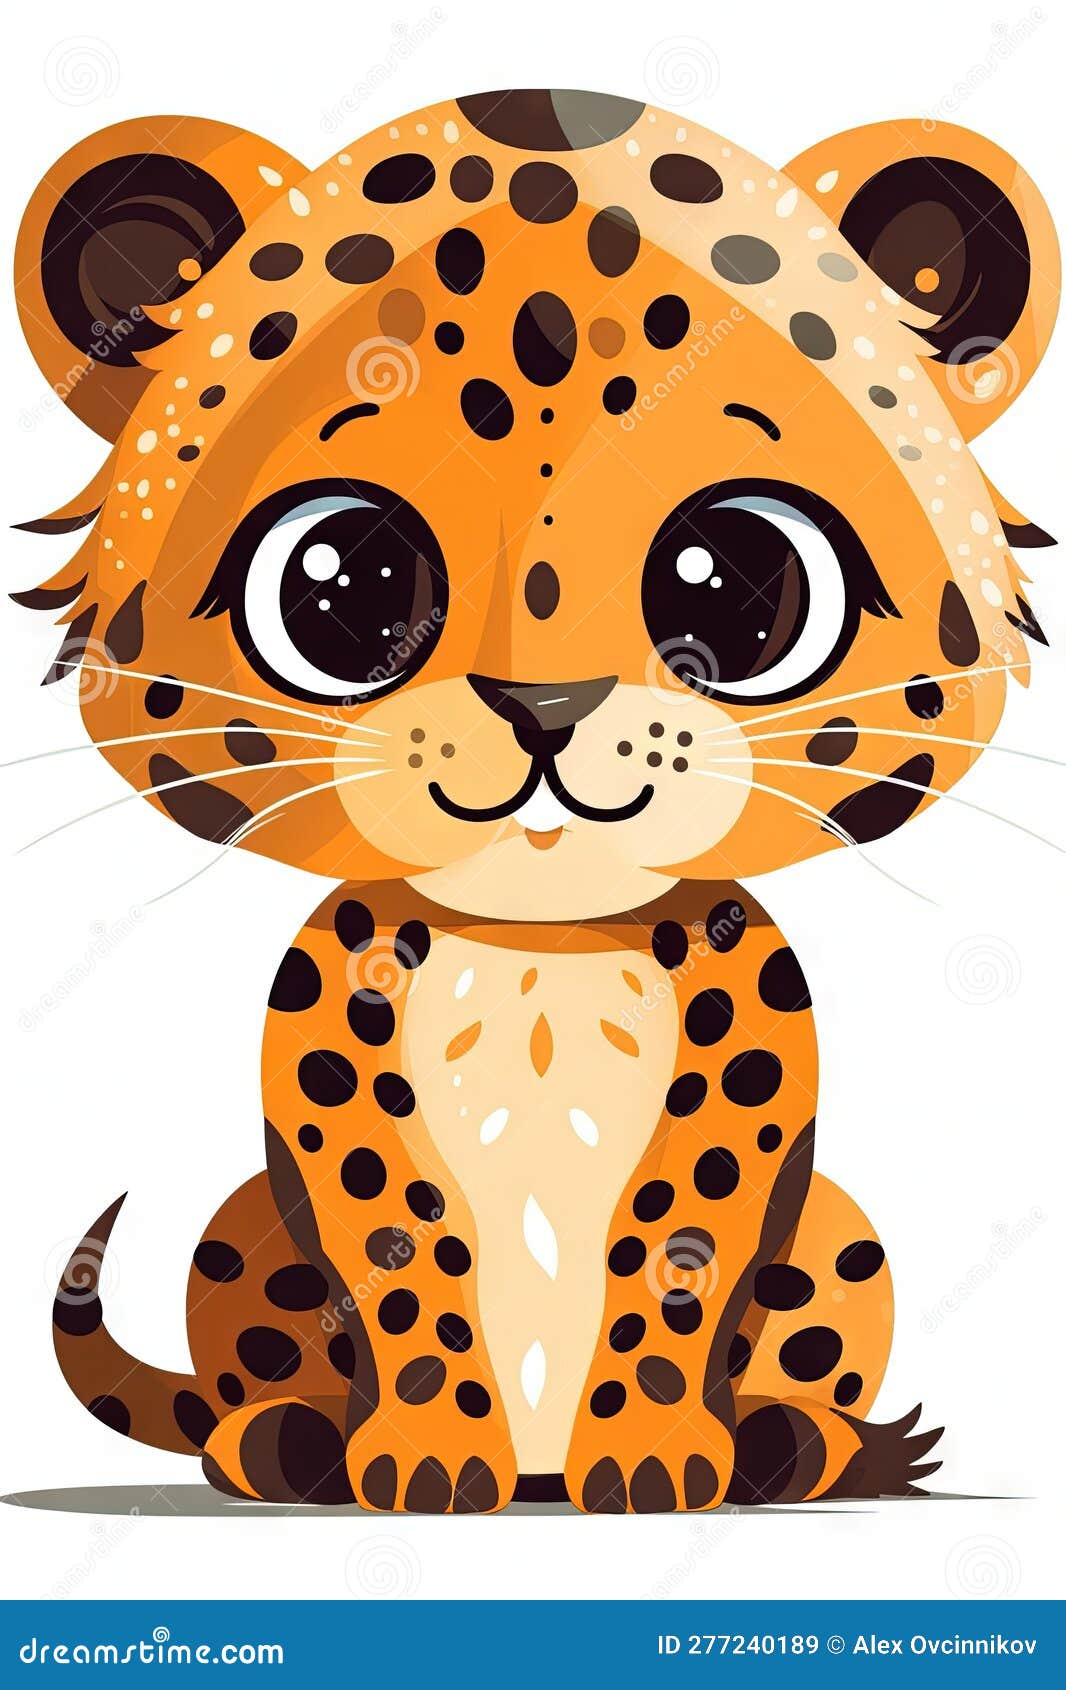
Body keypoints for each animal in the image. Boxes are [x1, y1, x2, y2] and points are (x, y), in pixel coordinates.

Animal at [12, 88, 1058, 1513]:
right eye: (337, 581)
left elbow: (674, 1241)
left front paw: (656, 1455)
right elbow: (403, 1245)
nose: (546, 706)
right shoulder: (332, 1058)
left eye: (735, 575)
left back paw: (795, 1443)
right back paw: (285, 1441)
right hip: (242, 1227)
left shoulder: (747, 1064)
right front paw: (428, 1456)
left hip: (840, 1230)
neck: (540, 943)